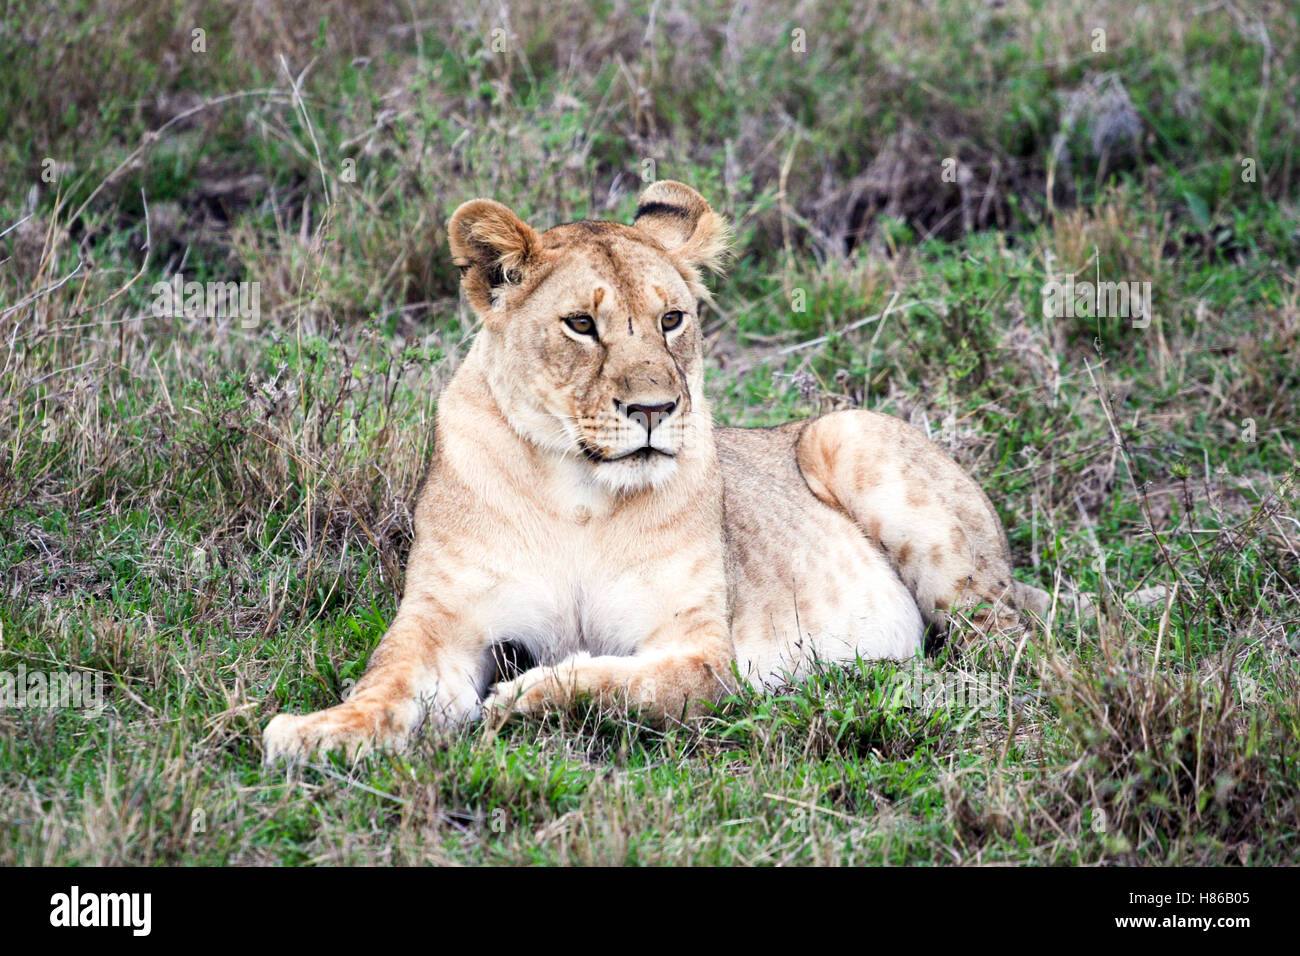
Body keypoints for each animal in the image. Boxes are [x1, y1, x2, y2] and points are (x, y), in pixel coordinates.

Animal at [262, 180, 1049, 761]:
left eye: (673, 319)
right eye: (581, 325)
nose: (655, 409)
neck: (577, 492)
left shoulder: (702, 650)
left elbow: (621, 684)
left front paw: (525, 696)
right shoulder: (442, 625)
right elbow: (385, 682)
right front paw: (314, 734)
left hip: (850, 438)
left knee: (1007, 649)